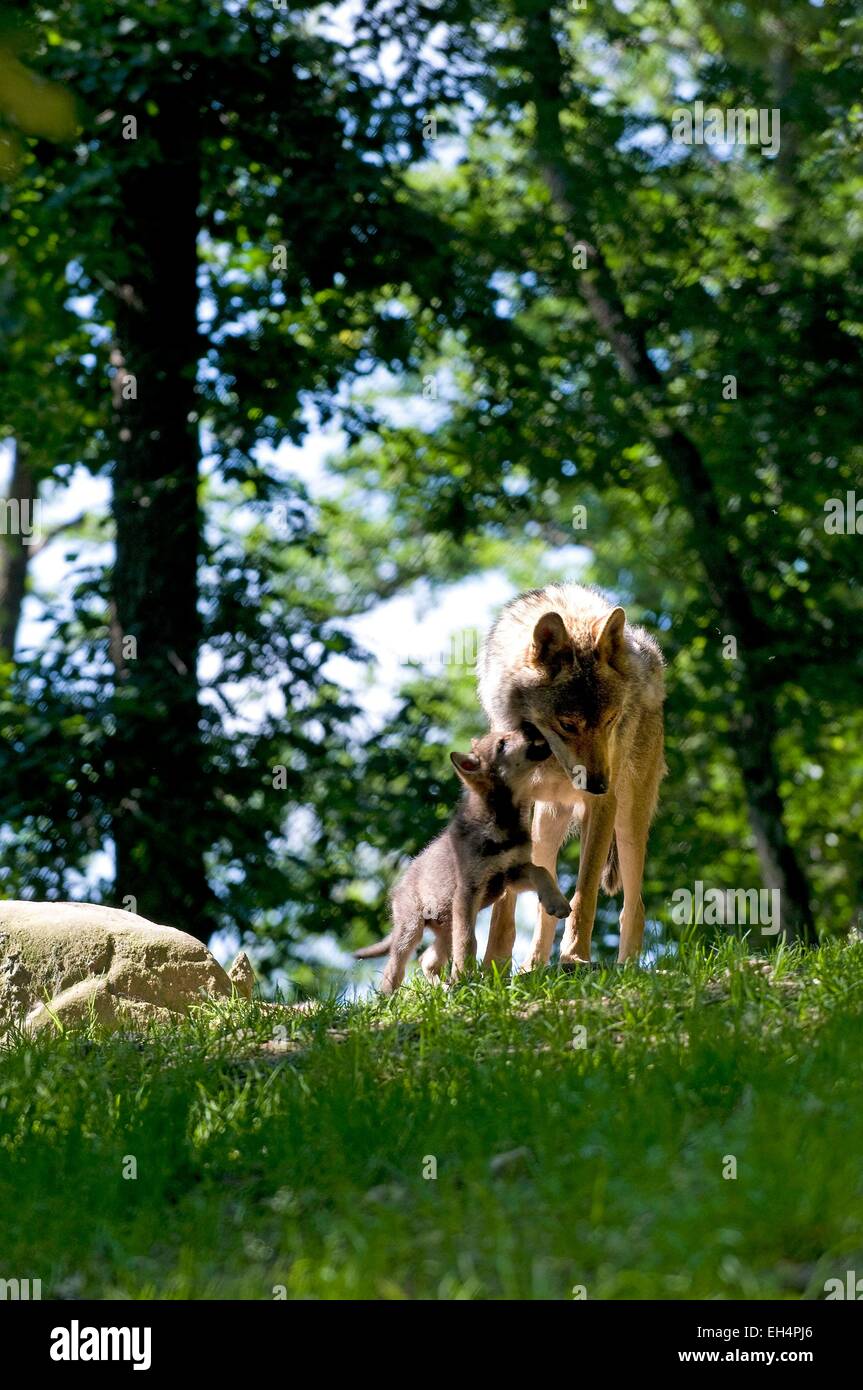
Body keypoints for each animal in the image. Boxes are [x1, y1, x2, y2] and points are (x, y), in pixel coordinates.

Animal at [353, 727, 571, 993]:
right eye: (501, 744)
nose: (531, 728)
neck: (503, 820)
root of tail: (398, 888)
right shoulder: (469, 889)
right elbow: (469, 941)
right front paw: (465, 978)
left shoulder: (512, 874)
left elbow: (541, 870)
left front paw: (557, 902)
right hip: (412, 929)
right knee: (395, 968)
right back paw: (389, 997)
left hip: (445, 926)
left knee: (427, 959)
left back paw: (442, 989)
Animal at [478, 583, 665, 969]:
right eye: (567, 725)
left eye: (611, 719)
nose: (598, 784)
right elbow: (505, 906)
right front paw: (492, 966)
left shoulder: (603, 807)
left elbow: (586, 892)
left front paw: (575, 956)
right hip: (545, 826)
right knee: (544, 908)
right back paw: (532, 966)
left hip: (629, 820)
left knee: (634, 908)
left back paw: (626, 966)